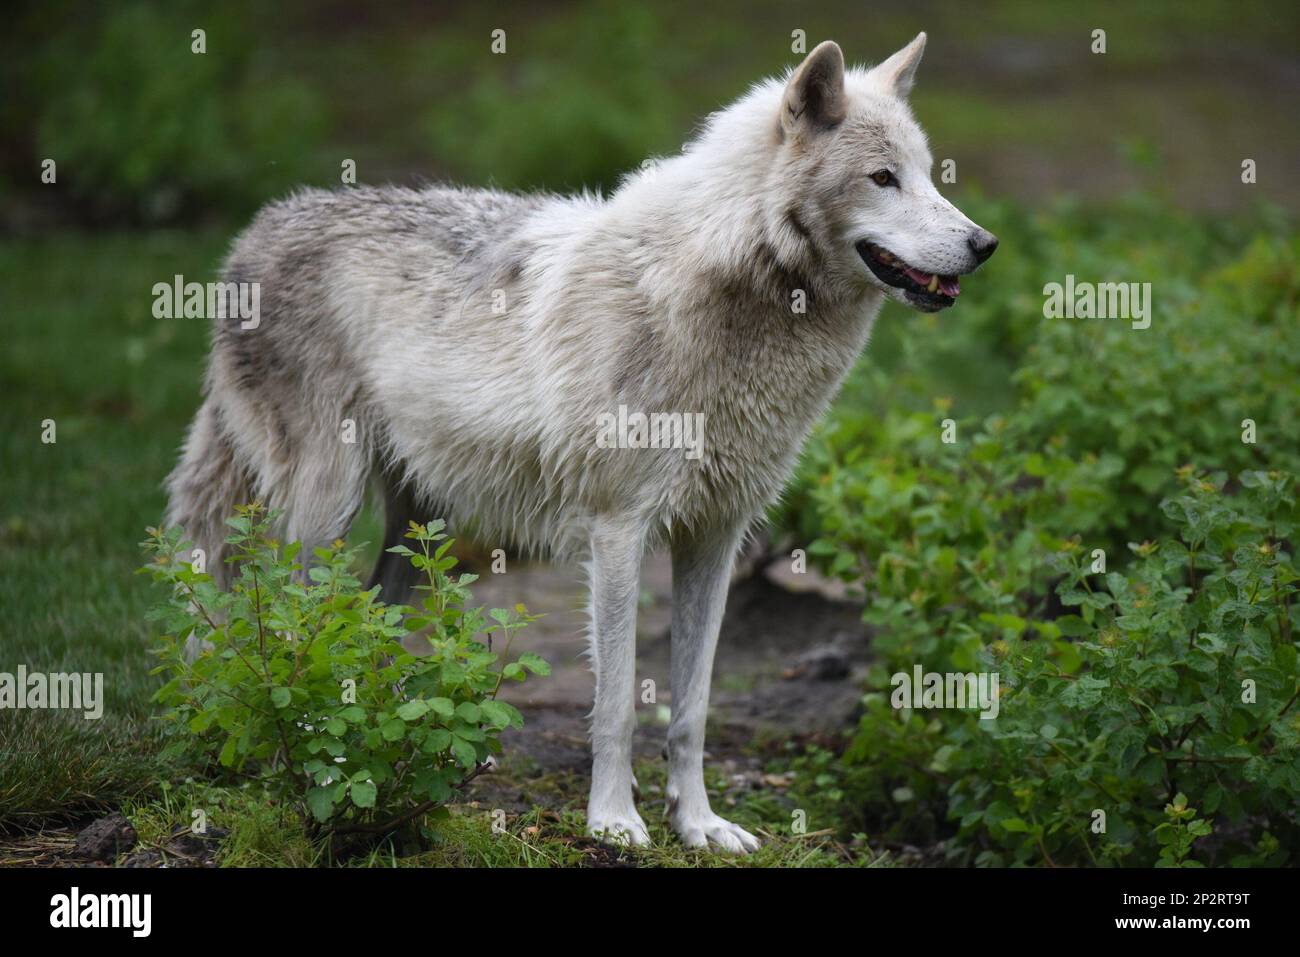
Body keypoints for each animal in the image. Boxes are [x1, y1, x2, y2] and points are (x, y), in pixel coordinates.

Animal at [166, 33, 997, 853]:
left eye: (929, 174)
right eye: (882, 178)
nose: (983, 243)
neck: (723, 296)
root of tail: (257, 230)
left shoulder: (716, 537)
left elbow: (692, 706)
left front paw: (699, 823)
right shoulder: (618, 531)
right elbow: (620, 701)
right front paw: (615, 820)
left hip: (418, 525)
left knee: (365, 623)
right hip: (327, 513)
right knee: (296, 626)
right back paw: (324, 760)